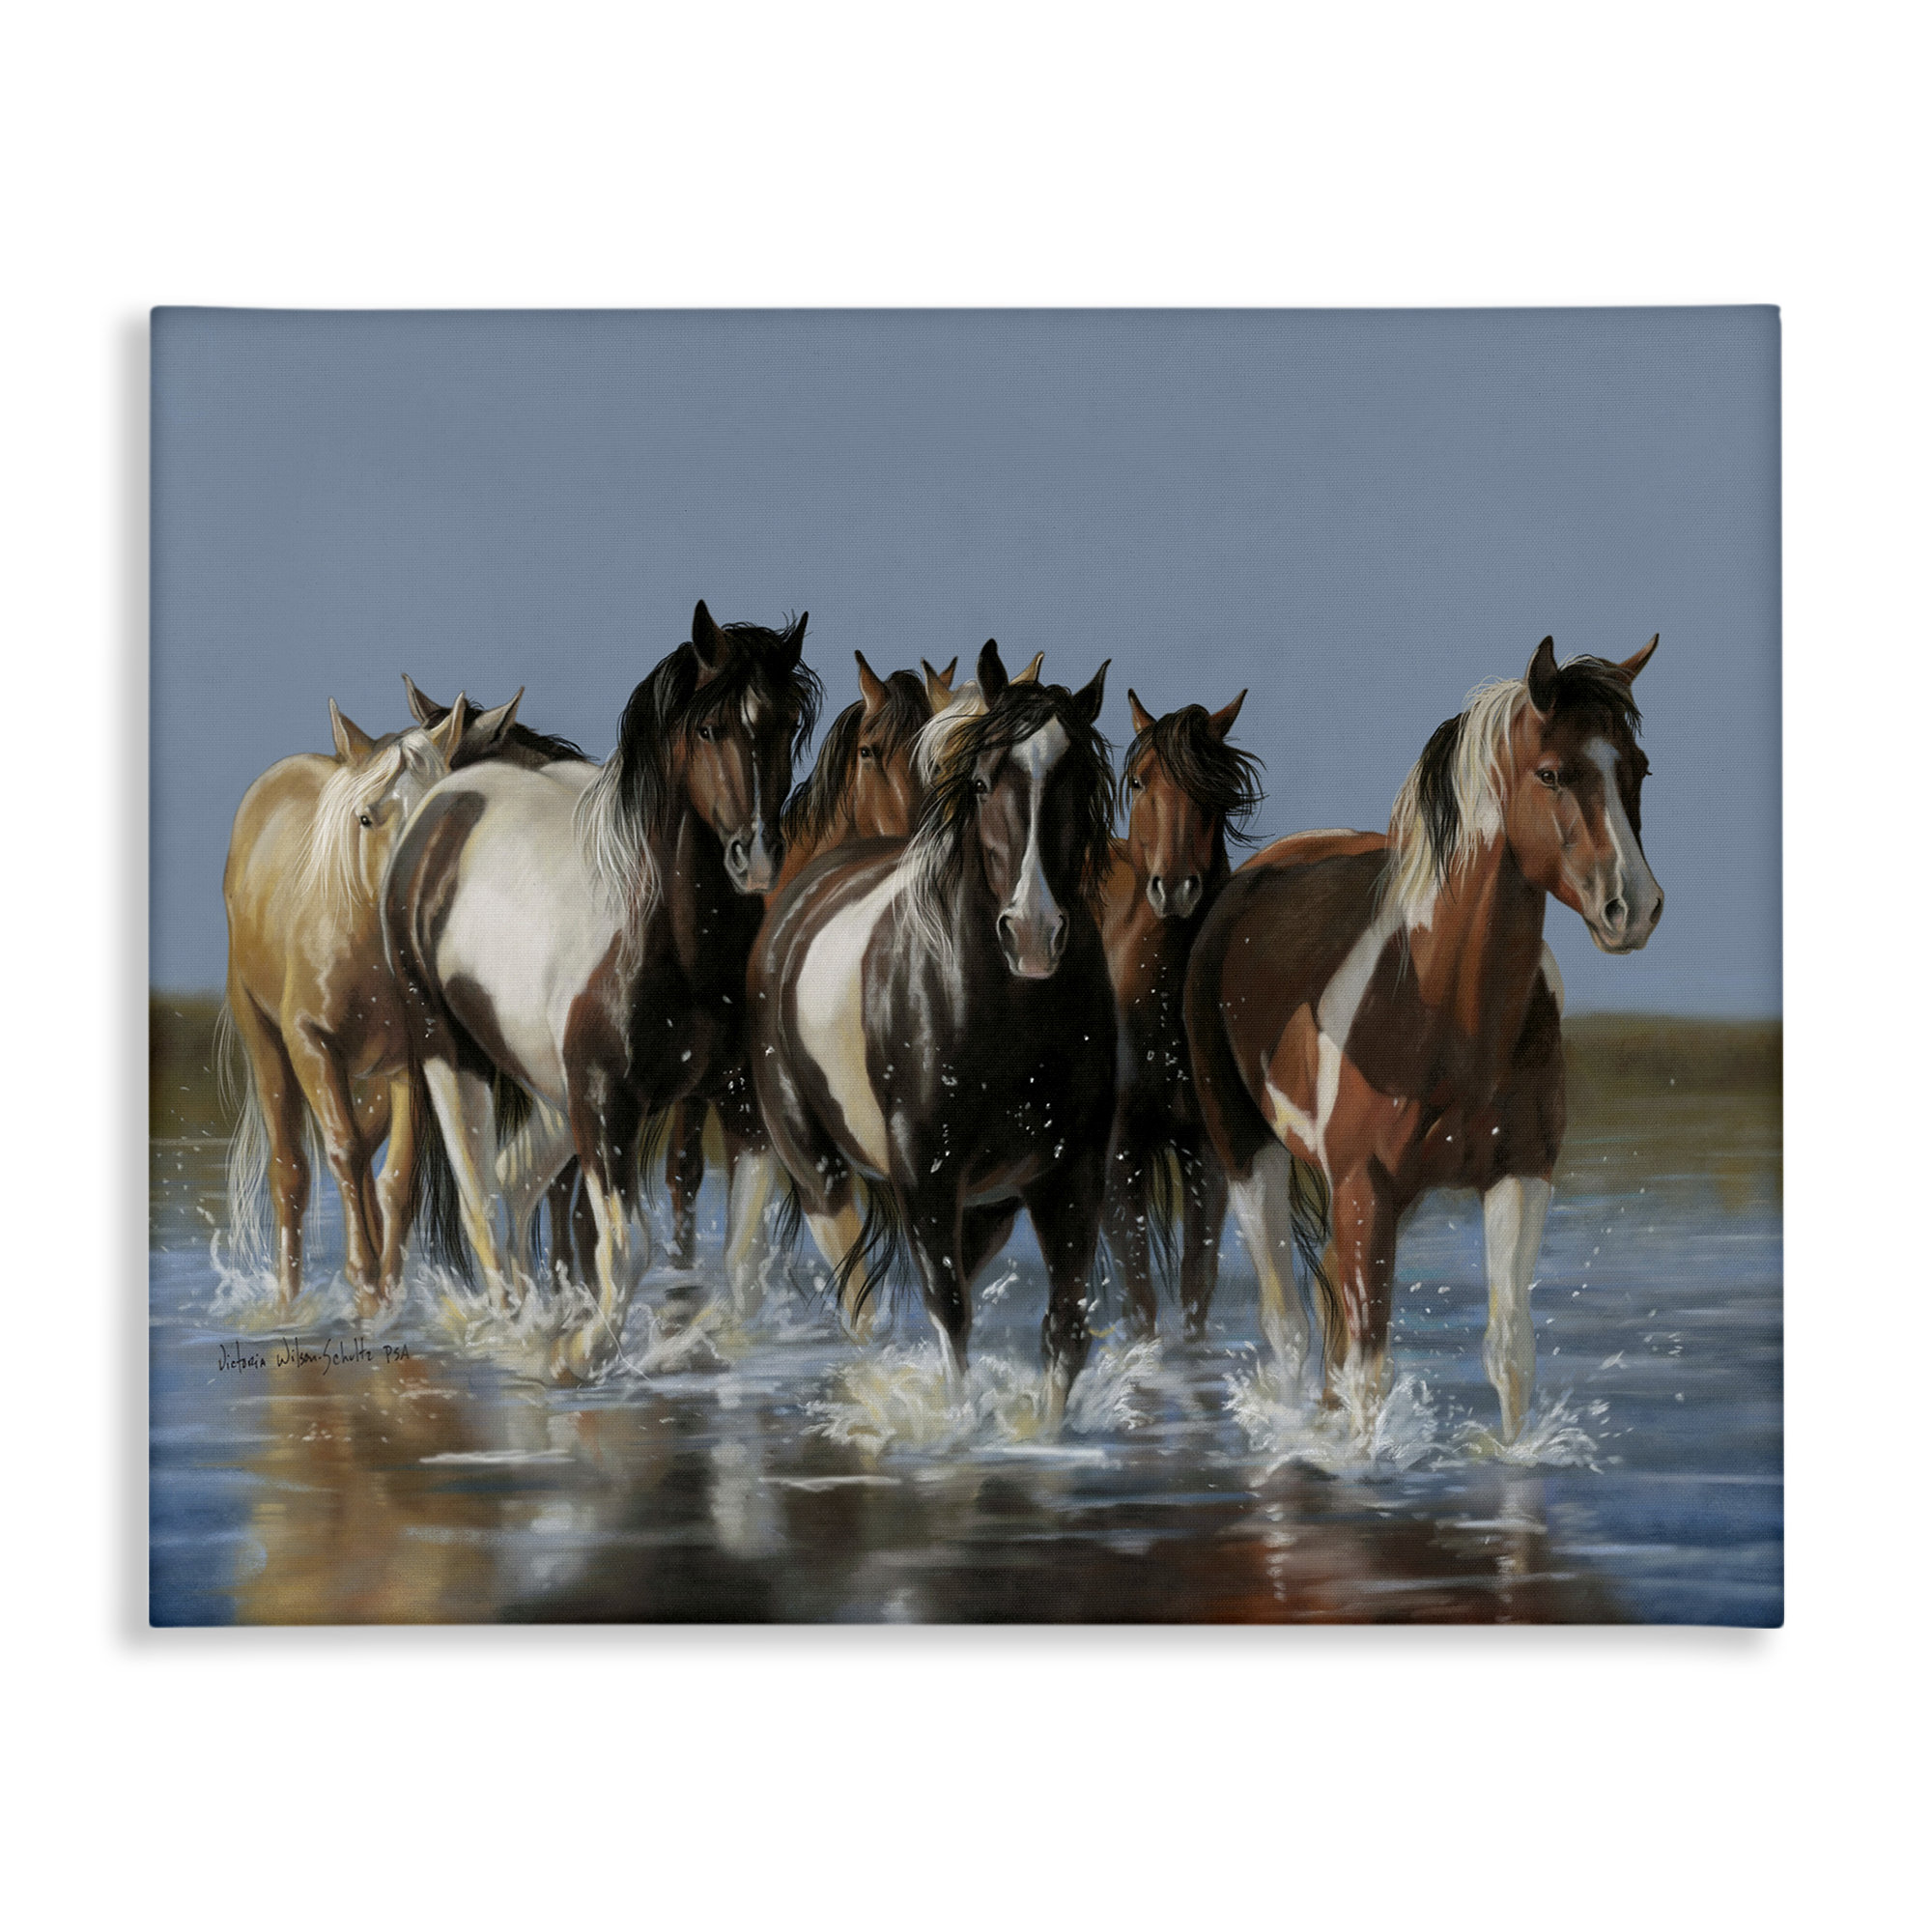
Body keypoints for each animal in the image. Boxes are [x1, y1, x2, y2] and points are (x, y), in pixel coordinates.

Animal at [220, 697, 467, 1311]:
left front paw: (386, 1292)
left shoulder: (415, 1059)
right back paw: (288, 1302)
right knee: (291, 1173)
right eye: (366, 819)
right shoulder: (311, 1043)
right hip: (266, 1043)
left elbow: (398, 1175)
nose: (412, 902)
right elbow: (344, 1151)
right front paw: (364, 1275)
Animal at [384, 601, 821, 1381]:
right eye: (707, 728)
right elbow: (624, 1247)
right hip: (449, 1053)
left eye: (788, 723)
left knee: (511, 1184)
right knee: (483, 1201)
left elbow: (743, 1260)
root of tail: (441, 808)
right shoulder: (602, 1105)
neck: (667, 944)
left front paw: (697, 1342)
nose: (757, 856)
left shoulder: (742, 1108)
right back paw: (513, 1332)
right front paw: (577, 1353)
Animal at [750, 641, 1117, 1426]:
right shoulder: (926, 1178)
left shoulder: (1070, 1175)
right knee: (861, 1309)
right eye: (981, 782)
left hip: (989, 1207)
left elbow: (1065, 1332)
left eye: (1081, 783)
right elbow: (949, 1319)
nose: (1033, 934)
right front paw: (957, 1432)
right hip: (821, 1175)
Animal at [1099, 685, 1263, 1339]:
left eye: (1215, 790)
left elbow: (1196, 1286)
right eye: (1140, 780)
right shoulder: (1119, 1158)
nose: (1175, 889)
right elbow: (1139, 1298)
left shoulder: (1207, 1156)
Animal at [1183, 636, 1663, 1444]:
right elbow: (1370, 1368)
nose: (1633, 908)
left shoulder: (1520, 1175)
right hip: (1247, 1152)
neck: (1445, 1012)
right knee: (1290, 1326)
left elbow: (1509, 1353)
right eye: (1551, 773)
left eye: (1639, 768)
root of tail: (1254, 877)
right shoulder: (1365, 1191)